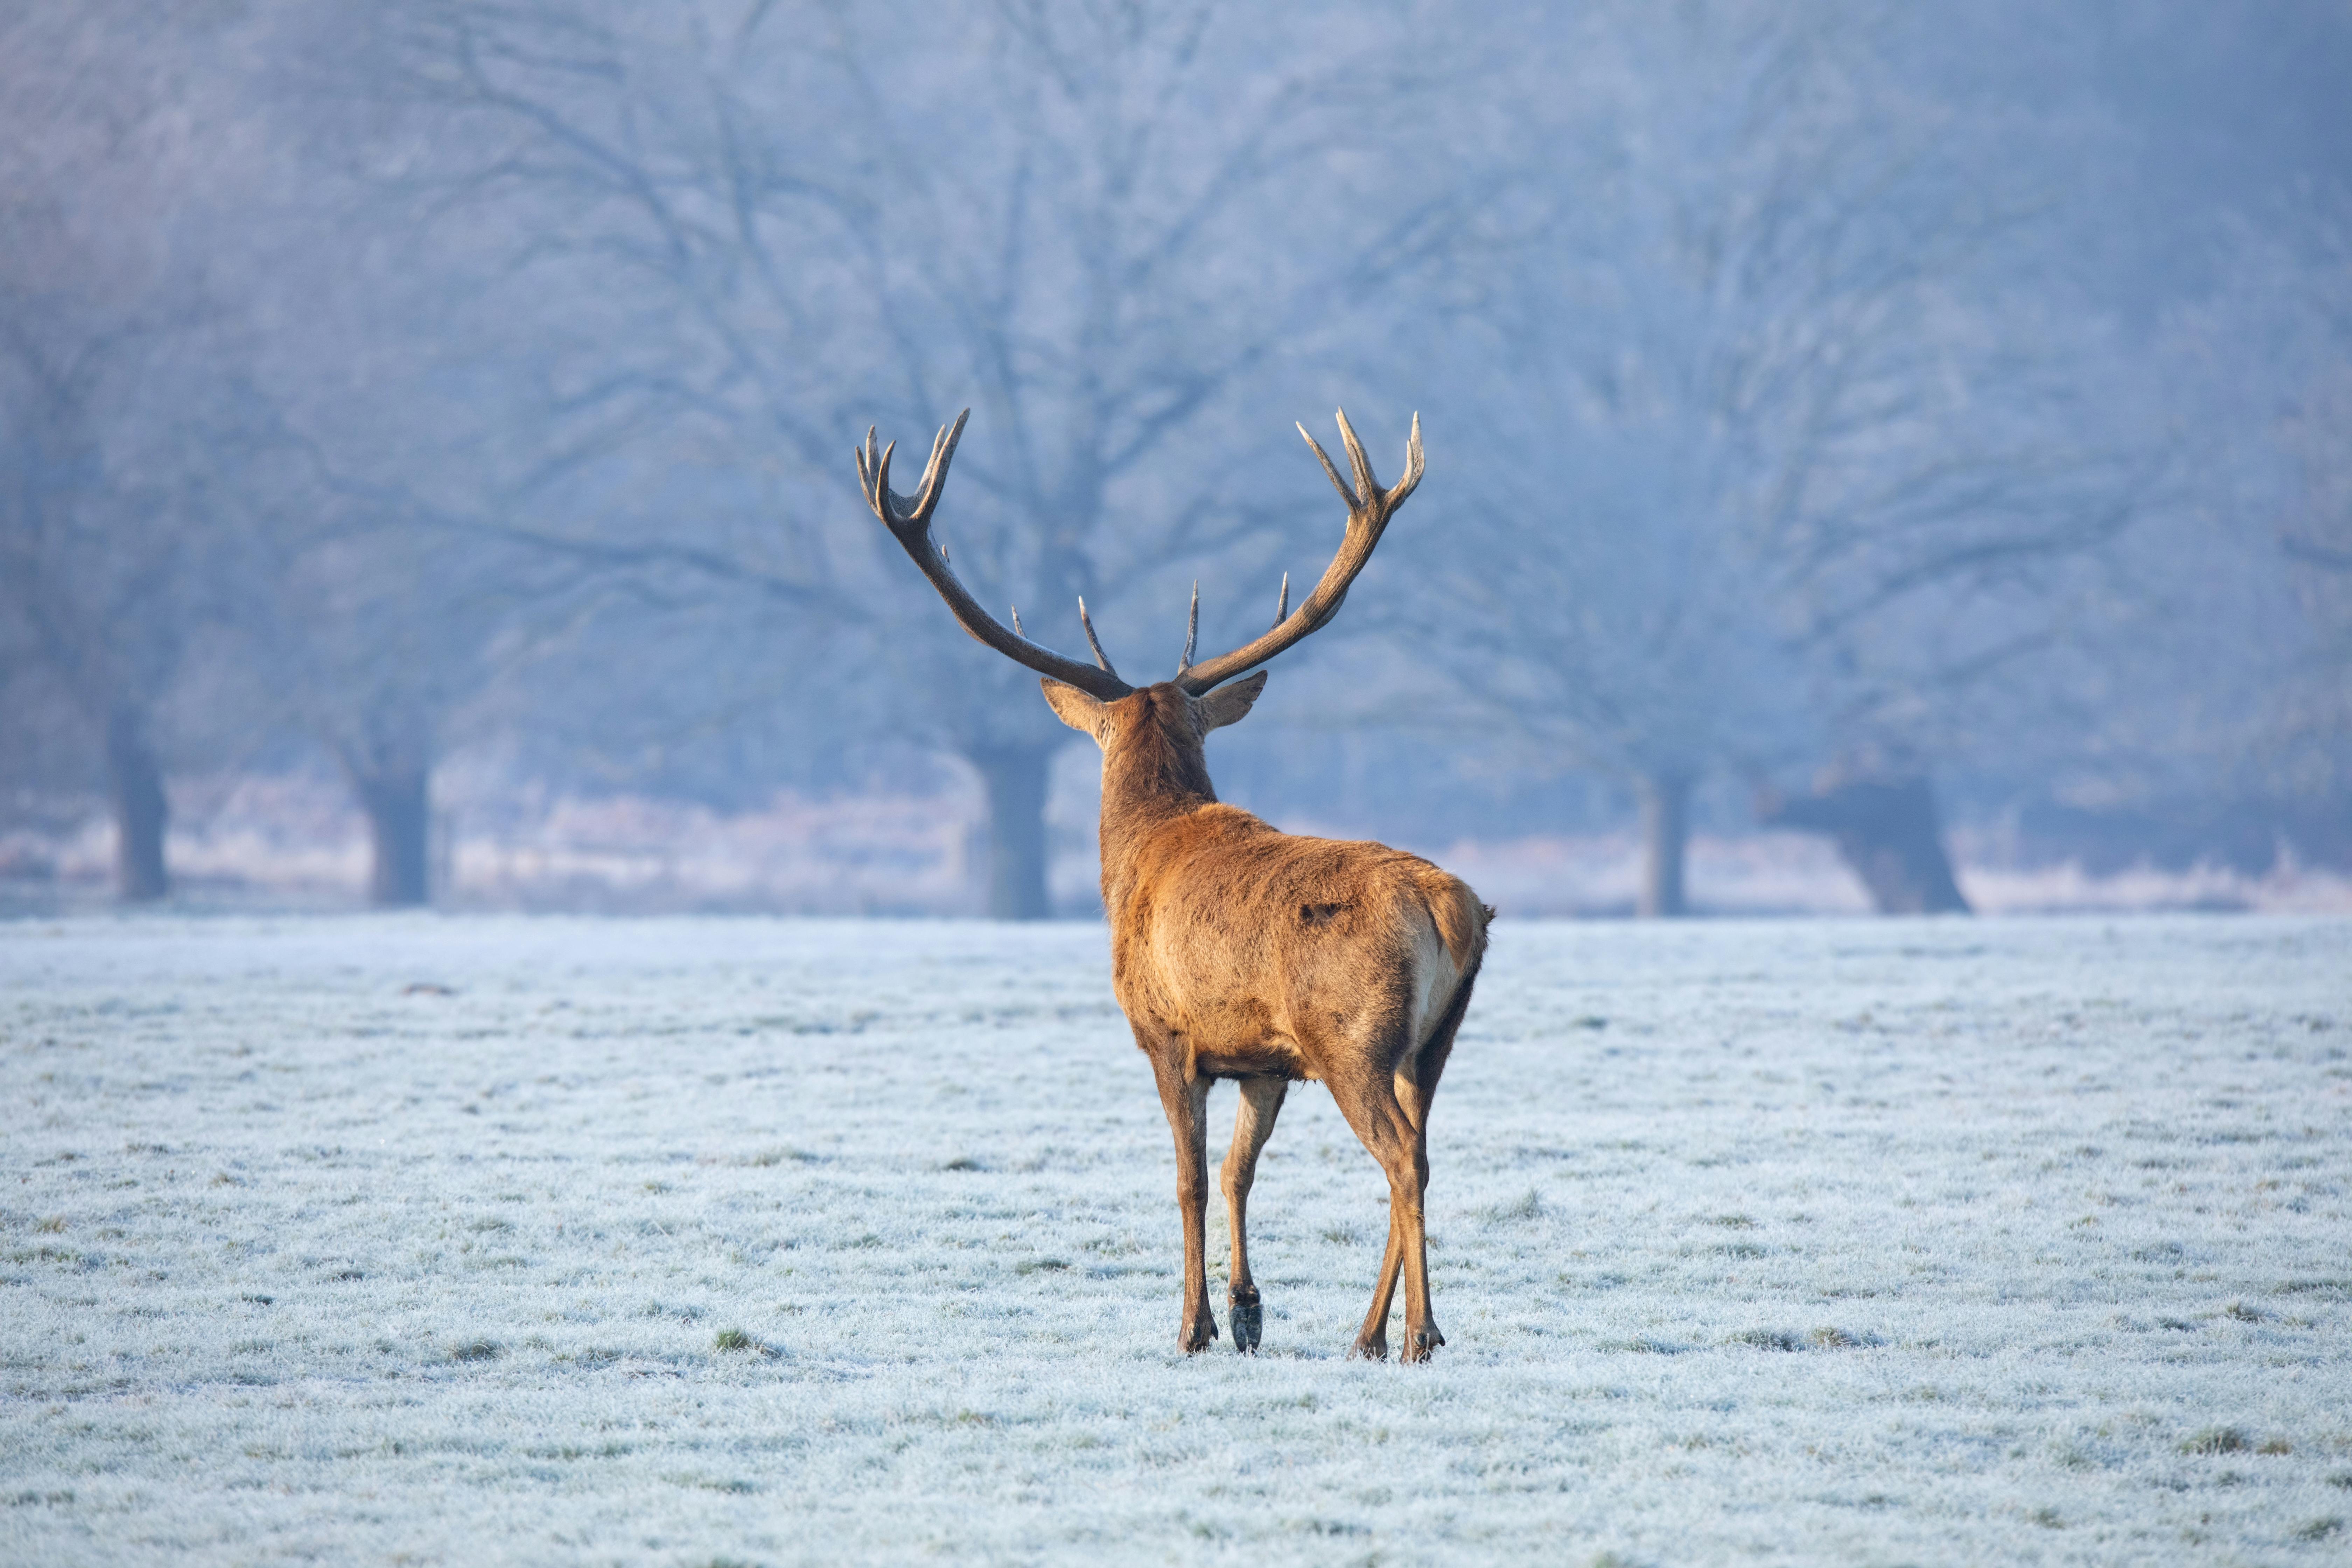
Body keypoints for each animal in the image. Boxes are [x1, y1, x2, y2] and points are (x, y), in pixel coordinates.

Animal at [856, 408, 1489, 1362]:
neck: (1142, 851)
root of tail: (1452, 910)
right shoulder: (1263, 1058)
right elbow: (1237, 1173)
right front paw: (1248, 1311)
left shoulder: (1165, 1030)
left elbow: (1189, 1177)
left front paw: (1193, 1324)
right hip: (1433, 1041)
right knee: (1420, 1149)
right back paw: (1369, 1332)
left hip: (1352, 1035)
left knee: (1400, 1158)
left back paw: (1418, 1334)